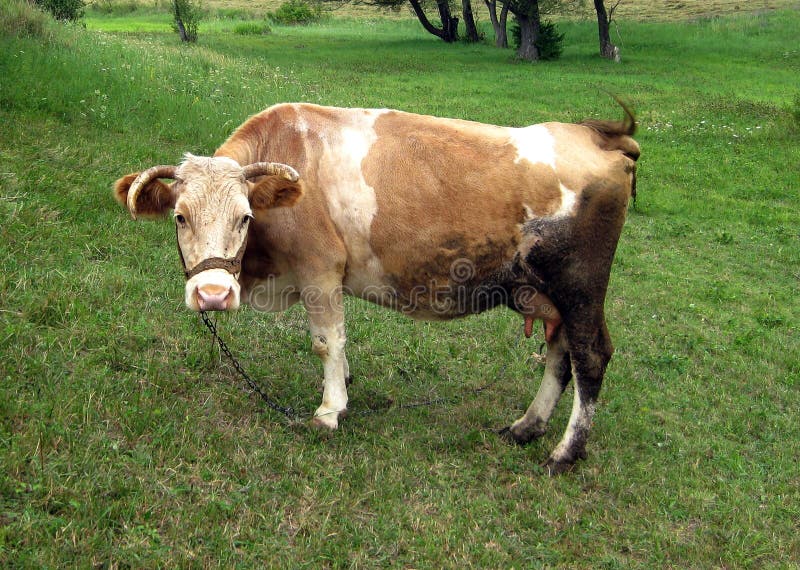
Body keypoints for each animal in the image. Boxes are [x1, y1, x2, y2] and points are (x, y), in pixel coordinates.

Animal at [113, 103, 640, 474]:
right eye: (180, 217)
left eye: (245, 217)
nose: (213, 294)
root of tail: (600, 138)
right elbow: (340, 342)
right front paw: (343, 384)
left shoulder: (319, 268)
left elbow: (325, 341)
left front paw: (329, 411)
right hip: (550, 296)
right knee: (559, 354)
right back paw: (526, 426)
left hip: (581, 288)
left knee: (590, 358)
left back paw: (564, 453)